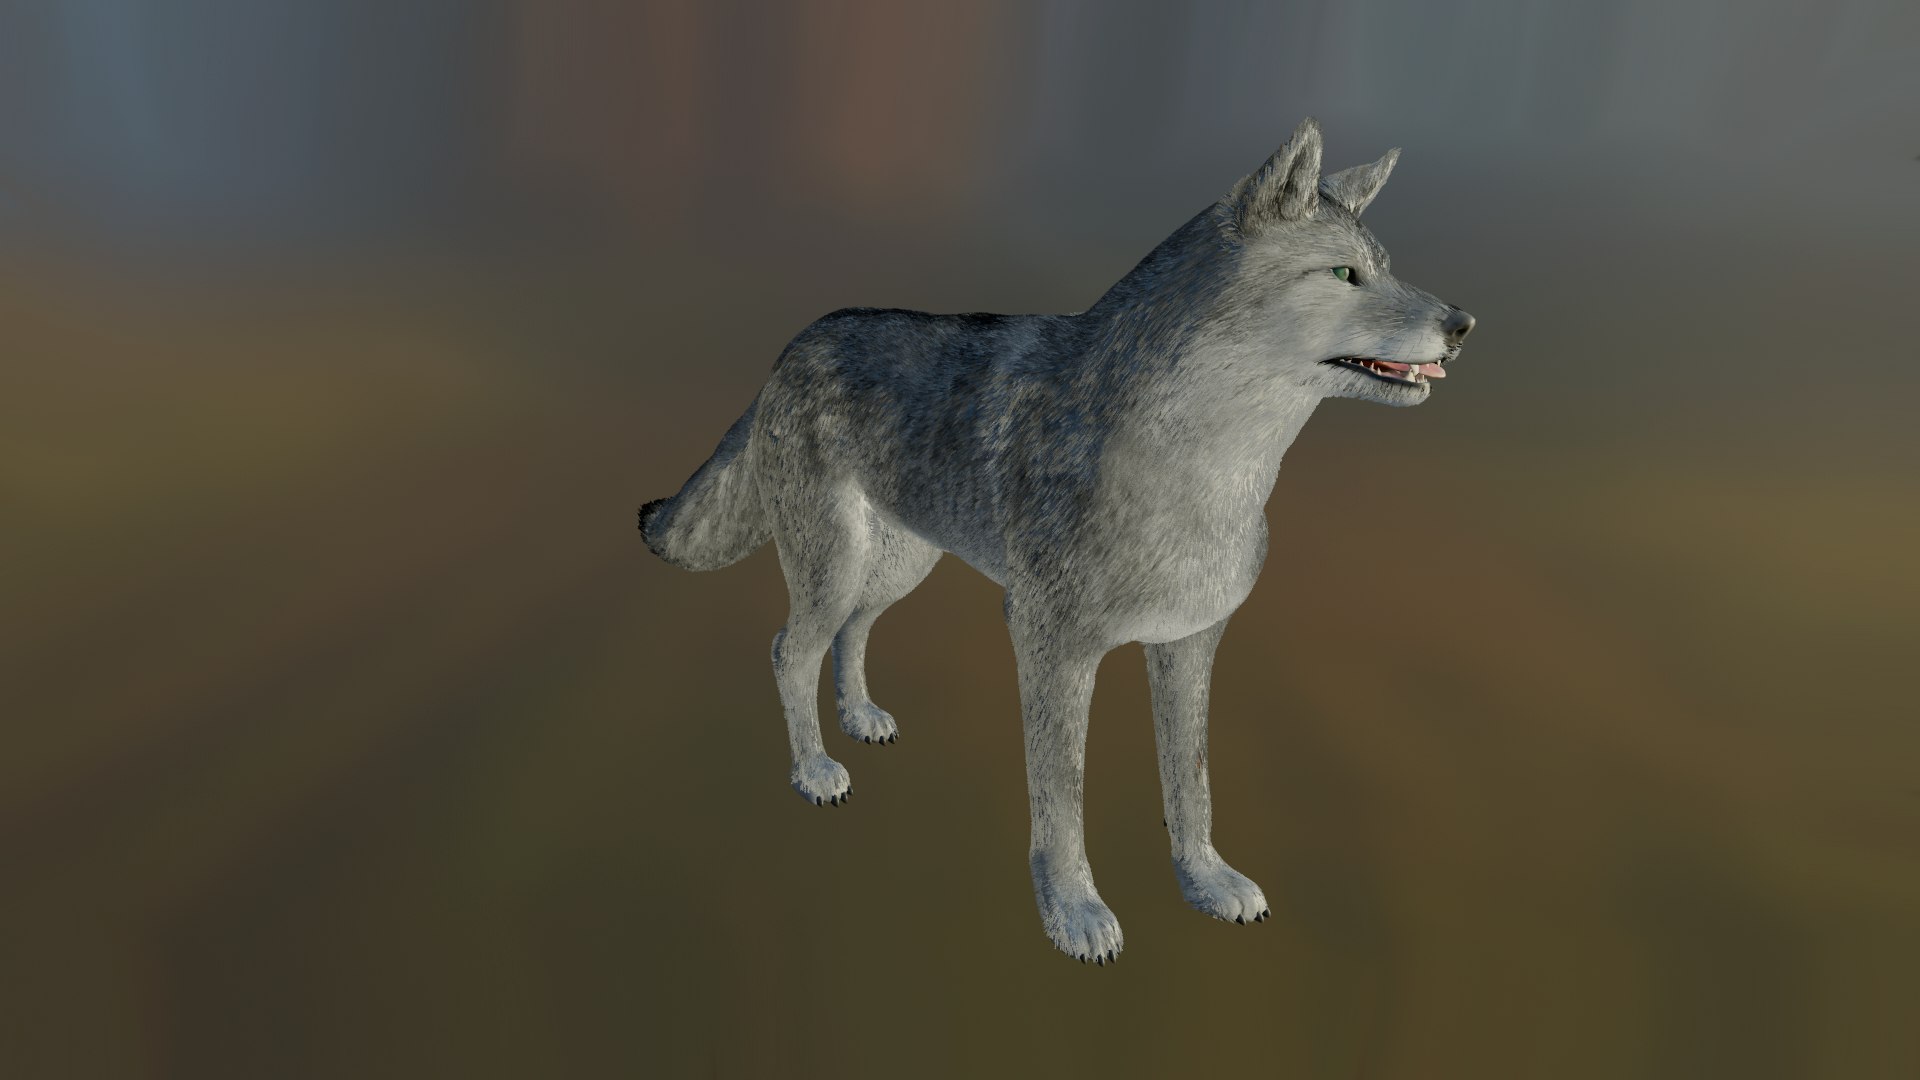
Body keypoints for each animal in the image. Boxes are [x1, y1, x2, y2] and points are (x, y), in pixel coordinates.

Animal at [639, 118, 1474, 964]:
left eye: (1386, 268)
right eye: (1344, 274)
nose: (1463, 325)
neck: (1205, 469)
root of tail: (797, 342)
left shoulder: (1190, 644)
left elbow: (1192, 786)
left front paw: (1207, 882)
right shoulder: (1051, 645)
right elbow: (1062, 799)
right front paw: (1075, 914)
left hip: (898, 567)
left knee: (850, 633)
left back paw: (863, 718)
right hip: (836, 566)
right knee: (789, 648)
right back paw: (814, 768)